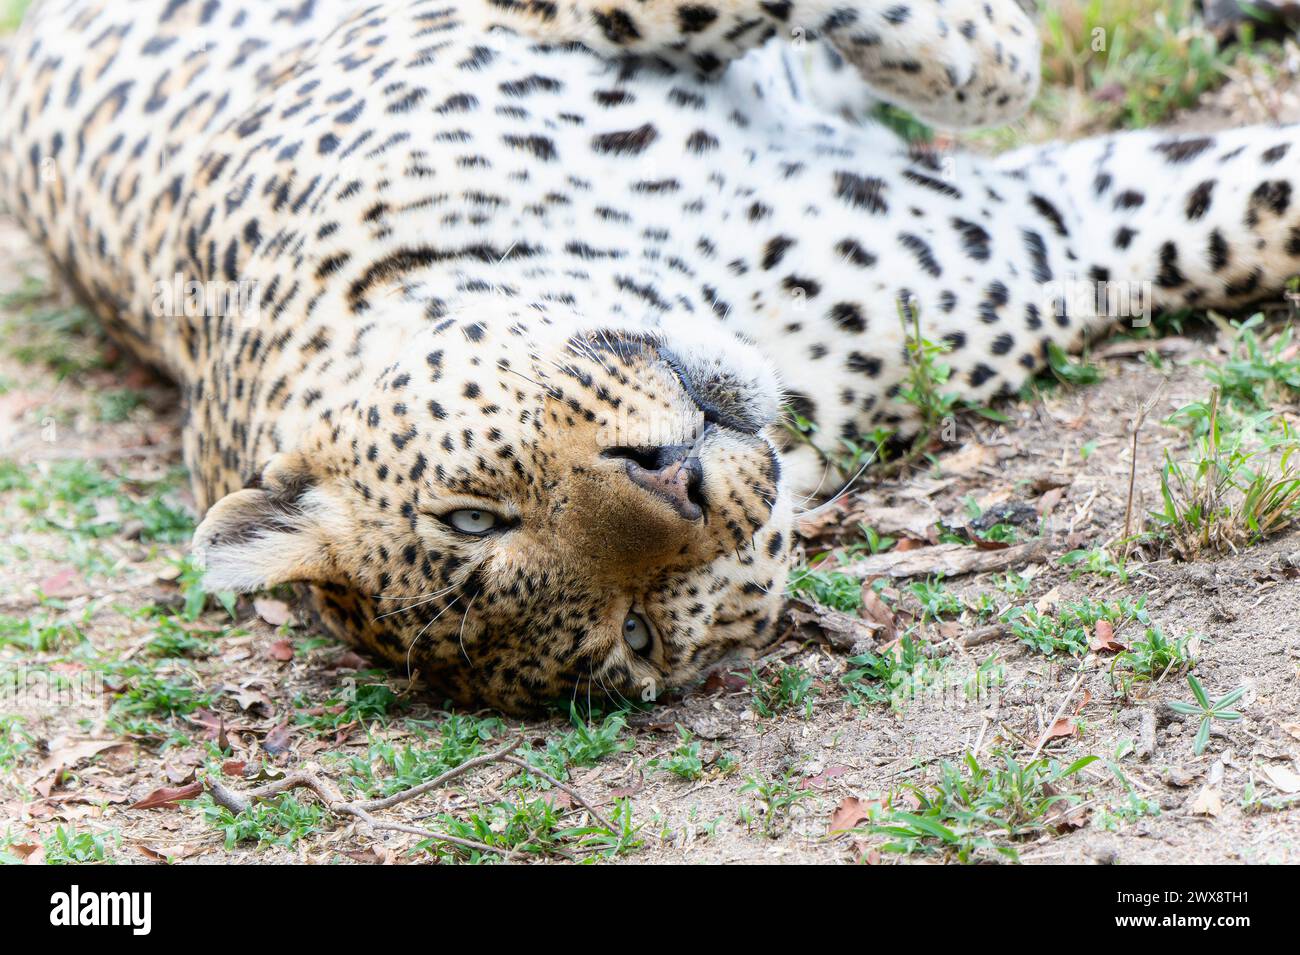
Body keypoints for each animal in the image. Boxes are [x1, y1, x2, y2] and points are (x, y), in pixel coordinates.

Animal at [2, 0, 1298, 712]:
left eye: (467, 512)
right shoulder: (1051, 233)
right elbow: (1238, 209)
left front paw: (981, 50)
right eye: (637, 635)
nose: (676, 475)